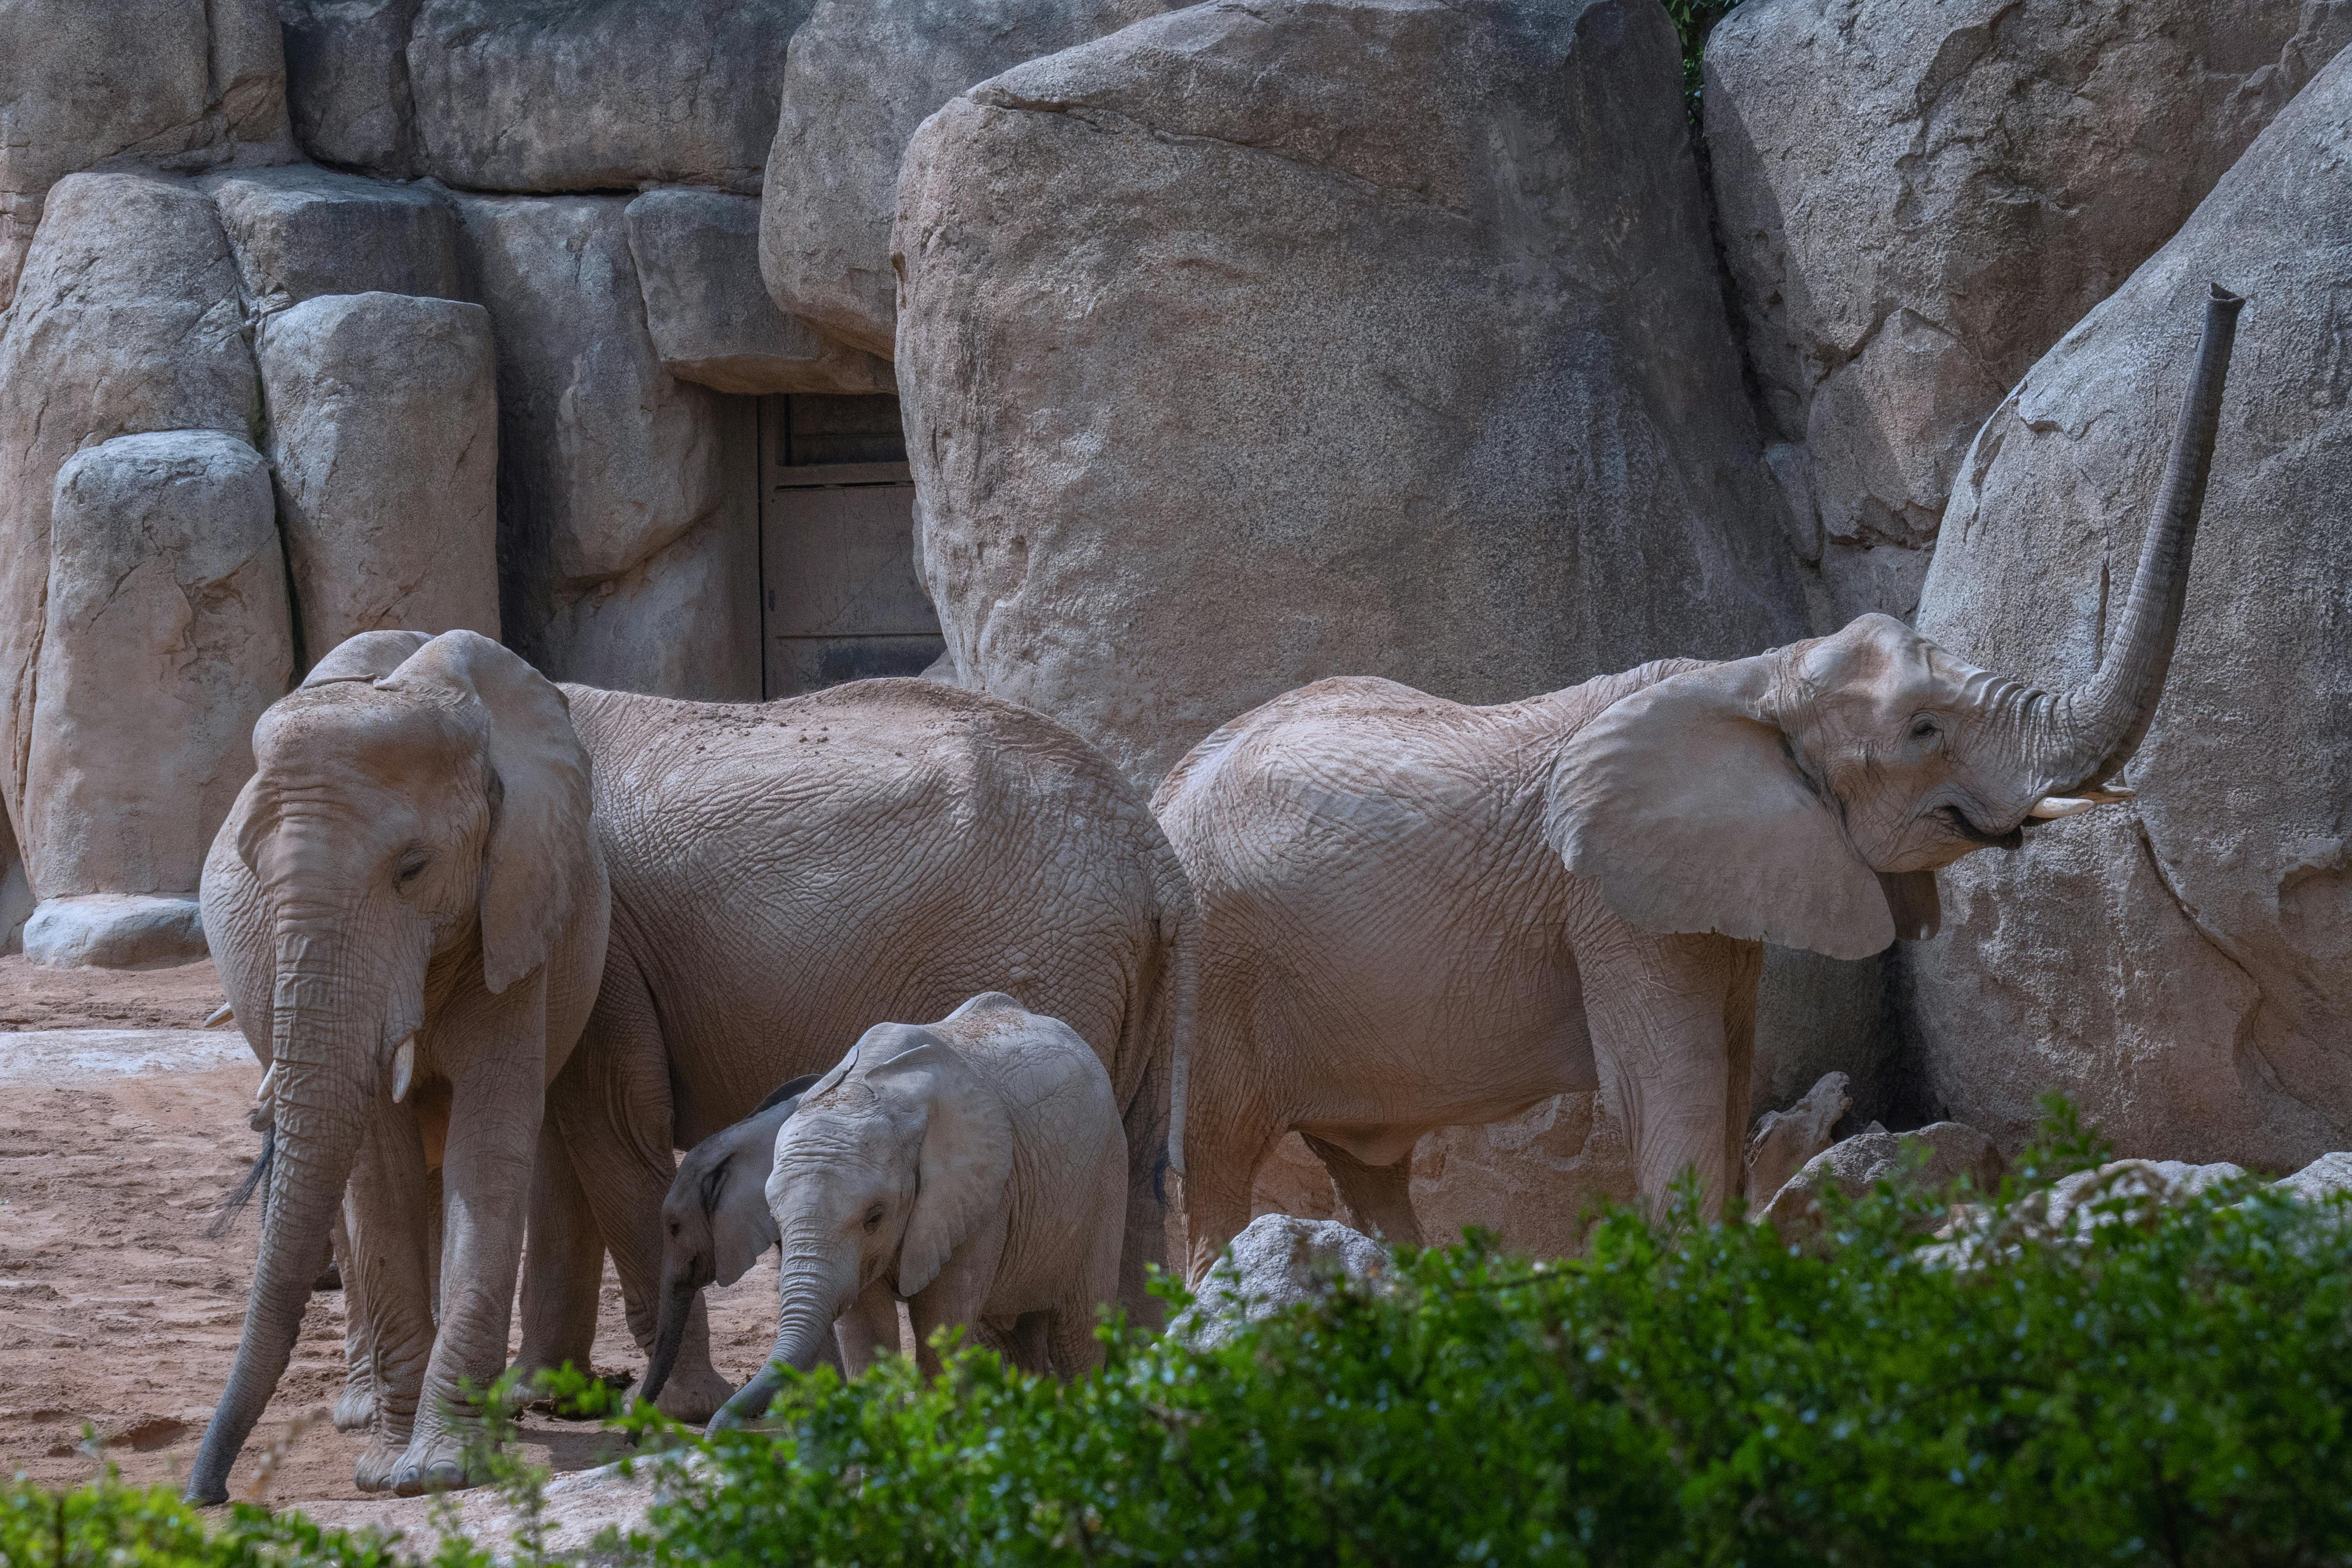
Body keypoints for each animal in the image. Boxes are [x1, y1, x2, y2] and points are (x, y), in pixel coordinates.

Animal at [709, 993, 1128, 1429]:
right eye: (775, 1220)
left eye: (875, 1217)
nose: (724, 1429)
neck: (865, 1093)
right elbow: (867, 1335)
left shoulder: (980, 1199)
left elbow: (940, 1328)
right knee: (1015, 1338)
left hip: (1106, 1175)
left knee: (1077, 1334)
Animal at [1154, 286, 2246, 1277]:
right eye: (1922, 729)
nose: (2225, 298)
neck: (1754, 676)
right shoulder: (1607, 902)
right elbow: (1669, 1081)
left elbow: (1728, 1064)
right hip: (1212, 981)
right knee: (1210, 1161)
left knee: (1366, 1169)